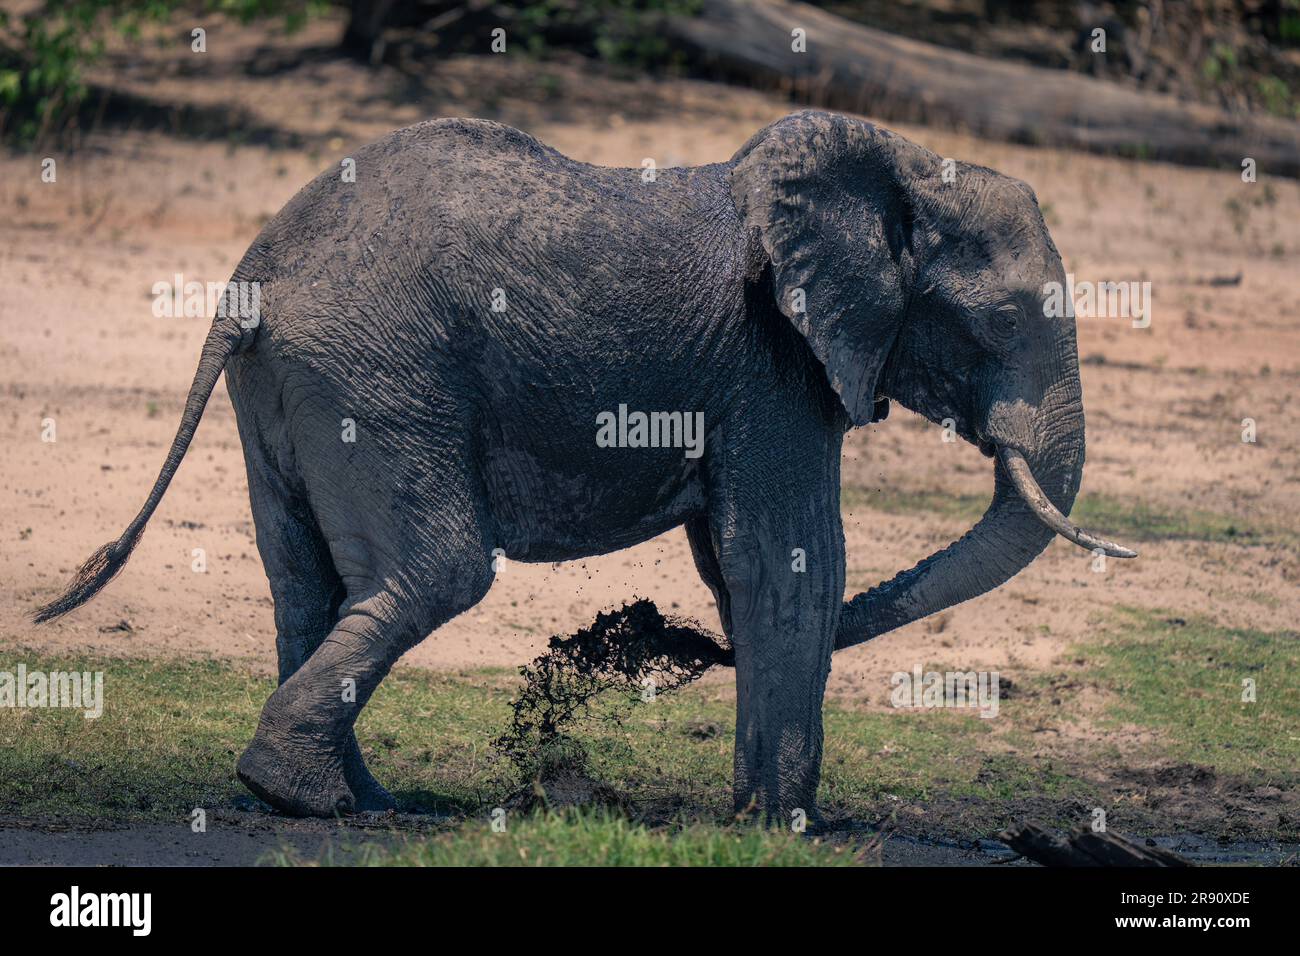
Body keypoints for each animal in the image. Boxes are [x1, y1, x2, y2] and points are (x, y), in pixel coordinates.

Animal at [36, 110, 1135, 822]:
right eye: (1003, 322)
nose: (659, 641)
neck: (904, 166)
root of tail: (252, 276)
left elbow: (737, 560)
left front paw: (763, 812)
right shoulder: (771, 356)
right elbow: (786, 561)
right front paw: (789, 828)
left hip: (297, 386)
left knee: (306, 583)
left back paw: (348, 800)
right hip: (376, 371)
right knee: (435, 571)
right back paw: (312, 796)